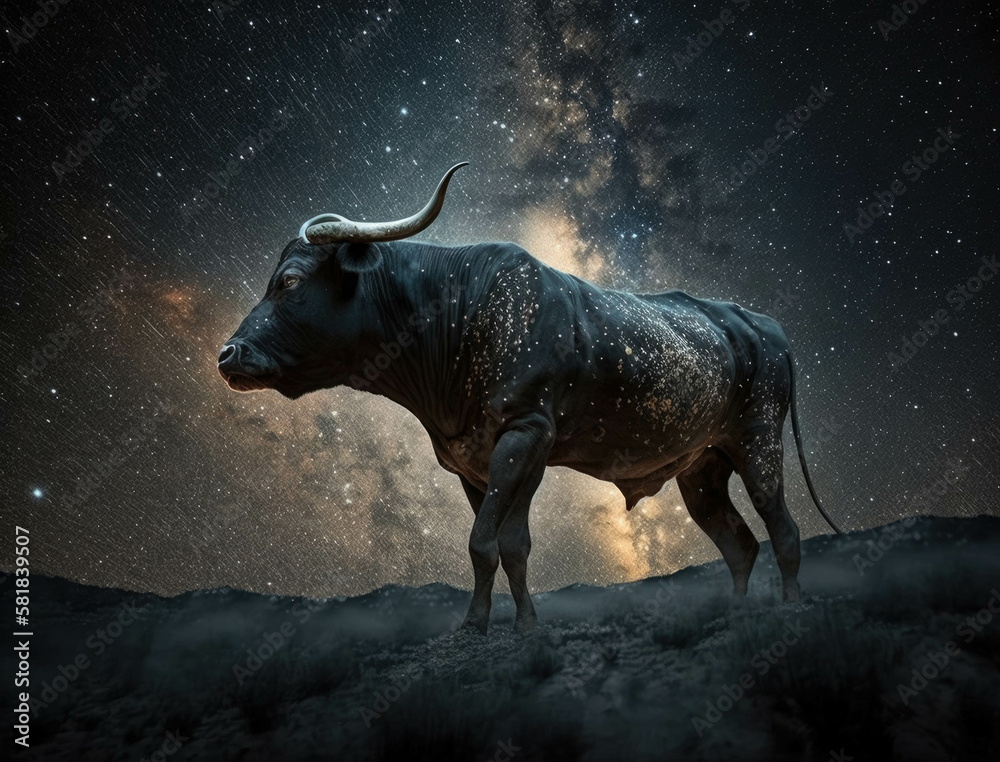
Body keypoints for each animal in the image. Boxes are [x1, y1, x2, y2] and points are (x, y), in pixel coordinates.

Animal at [218, 163, 842, 635]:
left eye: (290, 280)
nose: (227, 354)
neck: (458, 313)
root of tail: (760, 323)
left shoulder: (527, 436)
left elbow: (492, 541)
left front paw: (499, 624)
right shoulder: (470, 463)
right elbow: (499, 545)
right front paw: (498, 622)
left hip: (758, 443)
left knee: (783, 531)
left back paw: (790, 610)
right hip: (701, 471)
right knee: (740, 546)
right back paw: (735, 616)